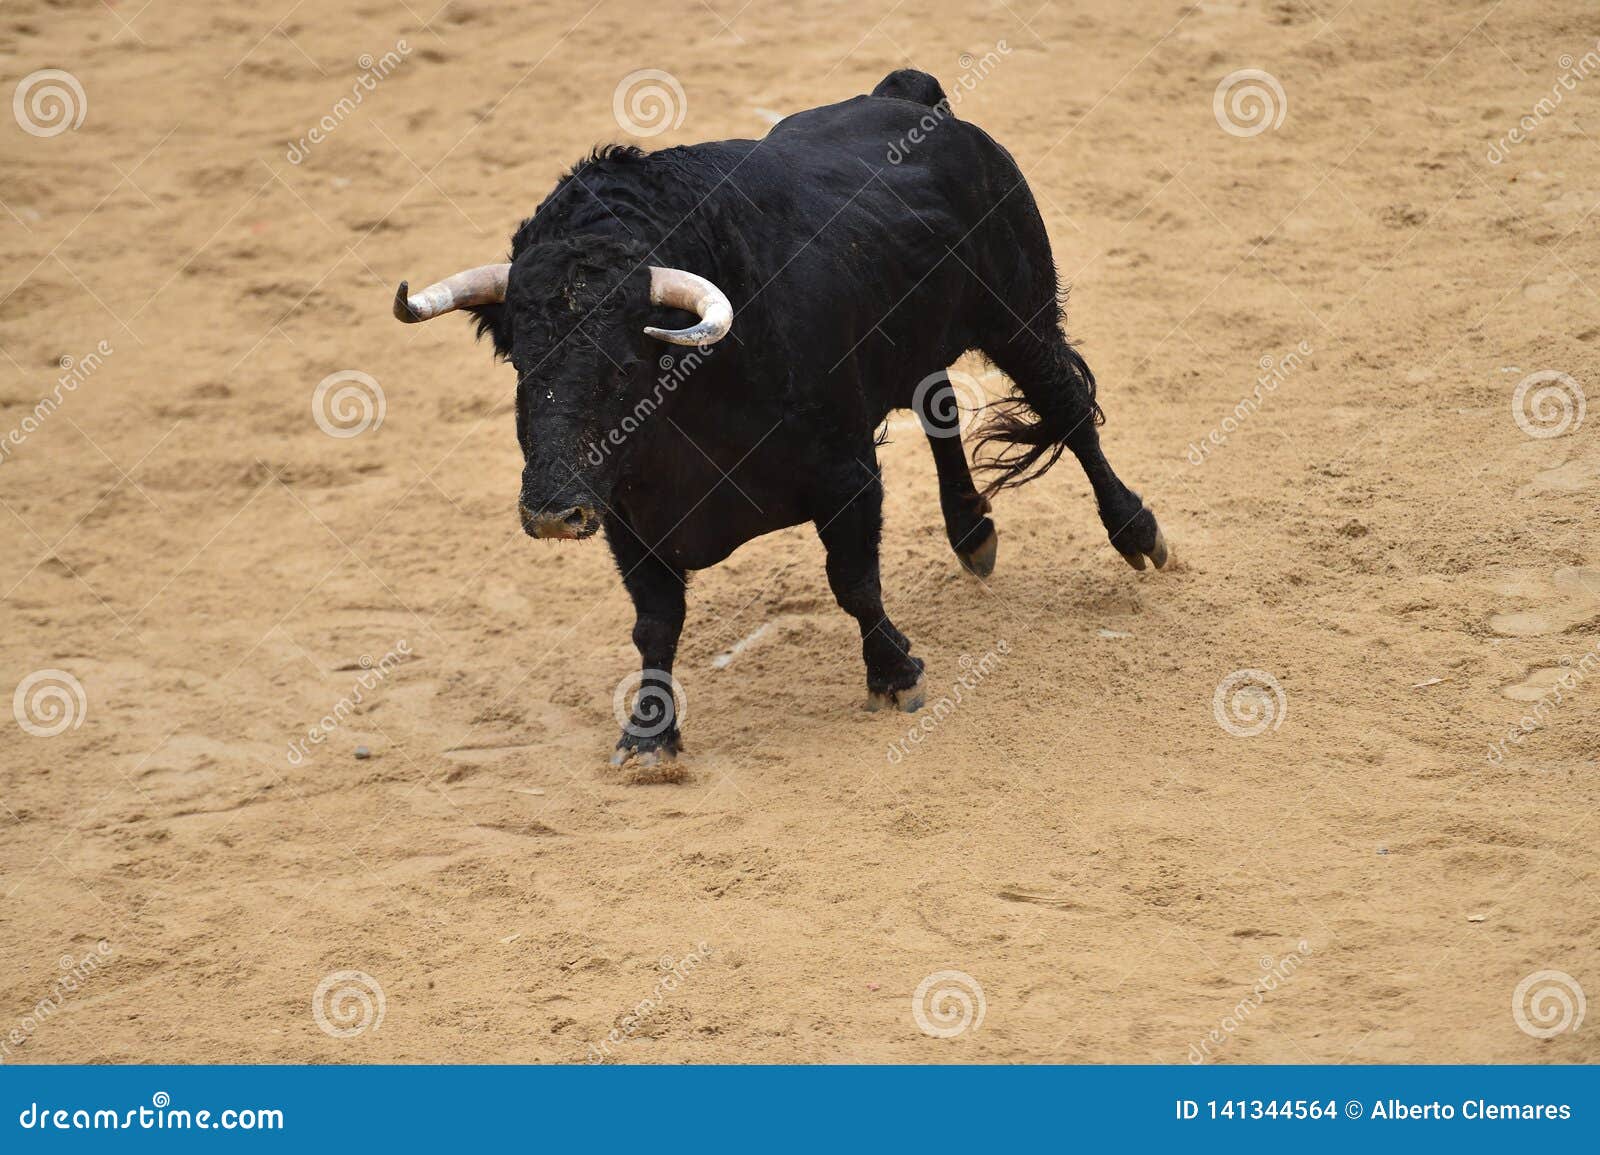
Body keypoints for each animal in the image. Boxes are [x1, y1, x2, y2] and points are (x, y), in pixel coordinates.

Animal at [393, 69, 1168, 767]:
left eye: (624, 365)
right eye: (522, 367)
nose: (553, 512)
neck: (694, 392)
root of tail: (908, 95)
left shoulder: (846, 474)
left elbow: (853, 581)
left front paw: (895, 676)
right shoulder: (627, 516)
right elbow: (655, 621)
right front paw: (647, 733)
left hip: (1017, 313)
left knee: (1068, 408)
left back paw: (1137, 531)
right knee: (941, 406)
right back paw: (972, 531)